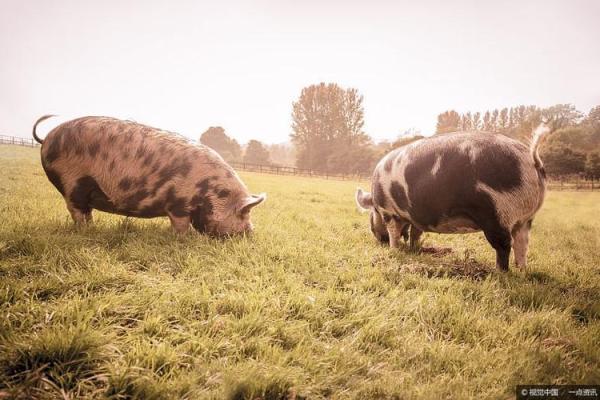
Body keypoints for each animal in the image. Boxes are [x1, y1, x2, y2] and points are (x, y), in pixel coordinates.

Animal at [32, 114, 266, 236]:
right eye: (244, 212)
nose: (251, 233)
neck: (209, 189)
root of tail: (47, 138)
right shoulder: (178, 203)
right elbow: (180, 224)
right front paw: (186, 238)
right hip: (72, 180)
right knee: (76, 209)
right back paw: (87, 230)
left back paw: (92, 227)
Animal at [356, 127, 548, 272]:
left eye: (371, 215)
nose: (380, 240)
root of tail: (532, 160)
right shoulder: (416, 216)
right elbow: (415, 233)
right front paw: (414, 250)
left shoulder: (388, 210)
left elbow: (394, 232)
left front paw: (394, 250)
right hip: (525, 219)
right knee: (522, 244)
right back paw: (521, 270)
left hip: (497, 212)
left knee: (504, 245)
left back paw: (500, 272)